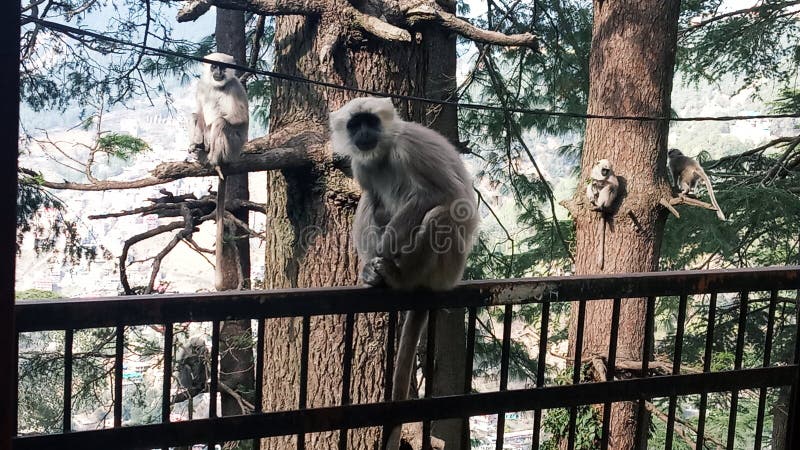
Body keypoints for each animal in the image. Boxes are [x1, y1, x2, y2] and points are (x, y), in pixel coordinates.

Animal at [188, 52, 249, 291]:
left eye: (222, 67)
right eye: (214, 66)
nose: (218, 72)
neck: (217, 86)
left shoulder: (235, 86)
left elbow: (238, 118)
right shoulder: (202, 86)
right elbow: (198, 112)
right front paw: (197, 142)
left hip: (234, 146)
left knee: (221, 124)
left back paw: (214, 158)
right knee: (196, 115)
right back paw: (199, 151)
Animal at [329, 97, 479, 450]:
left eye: (370, 121)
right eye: (355, 125)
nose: (364, 133)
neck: (383, 153)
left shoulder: (408, 148)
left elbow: (436, 194)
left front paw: (383, 254)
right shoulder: (362, 165)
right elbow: (372, 198)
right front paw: (370, 267)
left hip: (445, 267)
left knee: (442, 211)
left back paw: (397, 275)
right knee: (370, 201)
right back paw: (376, 273)